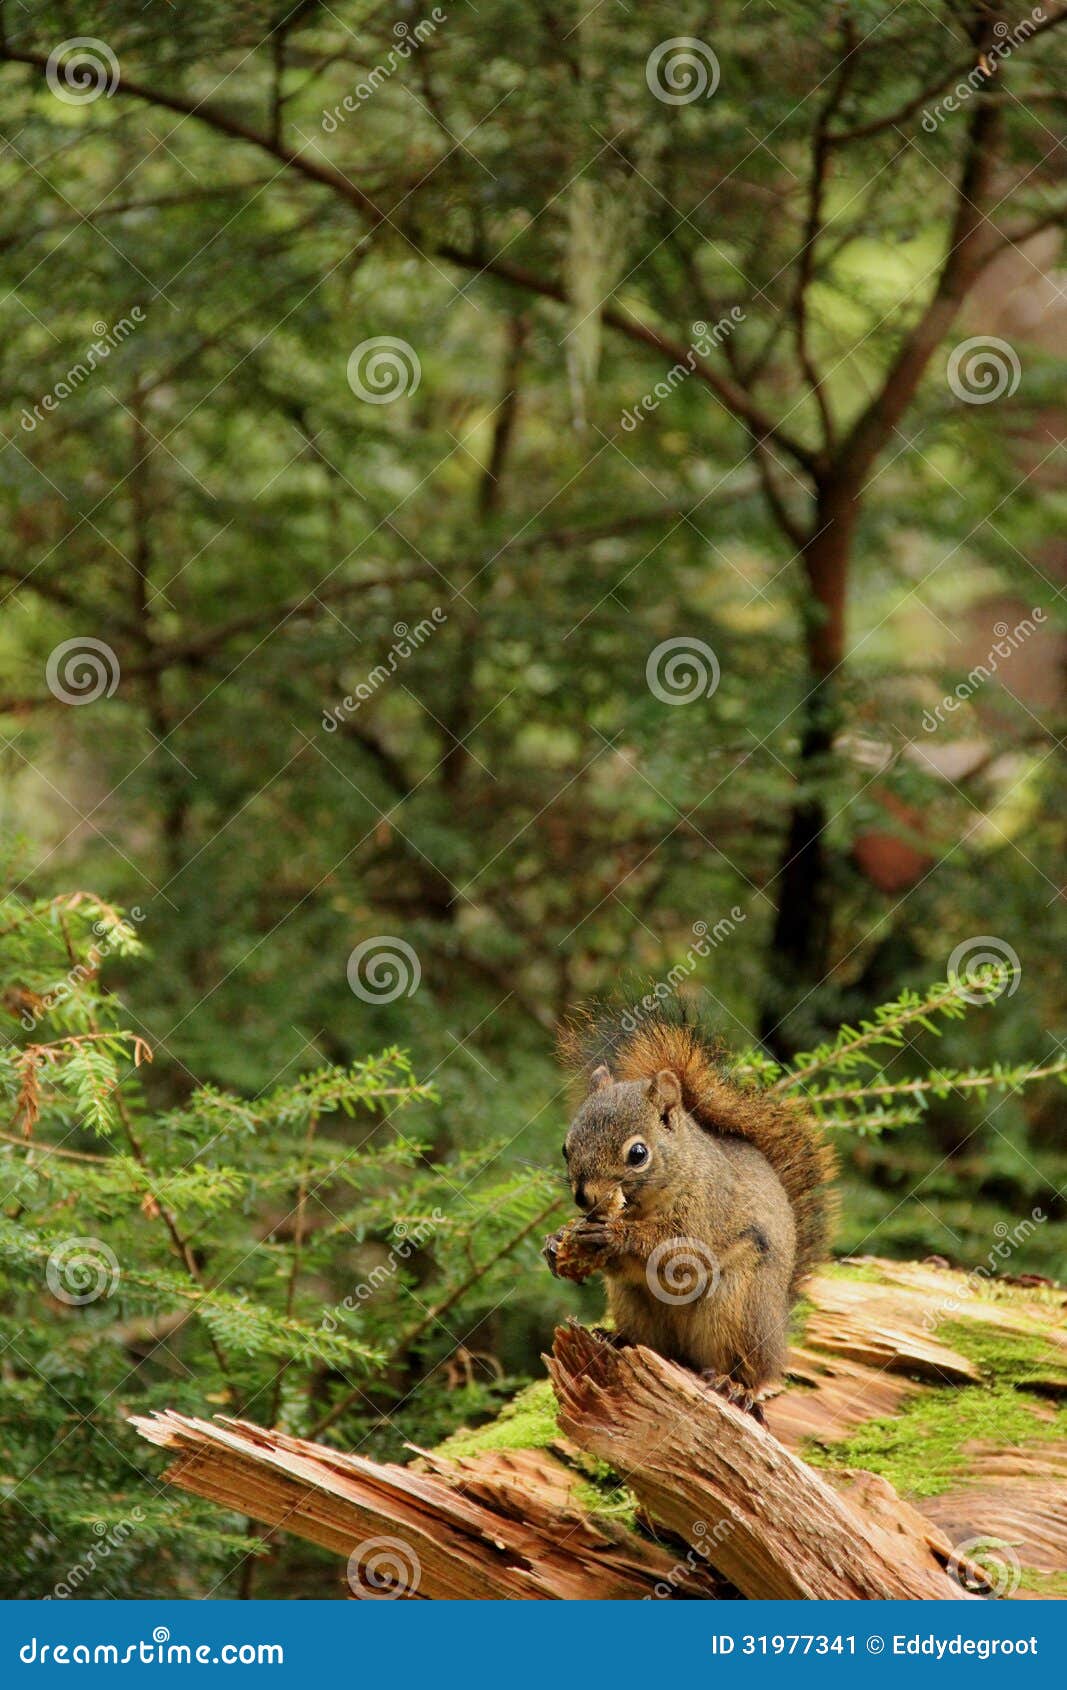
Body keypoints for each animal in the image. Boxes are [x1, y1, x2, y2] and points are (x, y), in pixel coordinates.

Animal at [542, 1005, 836, 1418]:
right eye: (566, 1148)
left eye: (638, 1154)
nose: (586, 1199)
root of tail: (779, 1322)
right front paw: (556, 1243)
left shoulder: (707, 1209)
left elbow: (678, 1249)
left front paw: (614, 1235)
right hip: (633, 1302)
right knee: (657, 1344)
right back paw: (614, 1337)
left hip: (740, 1308)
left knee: (753, 1370)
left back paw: (737, 1386)